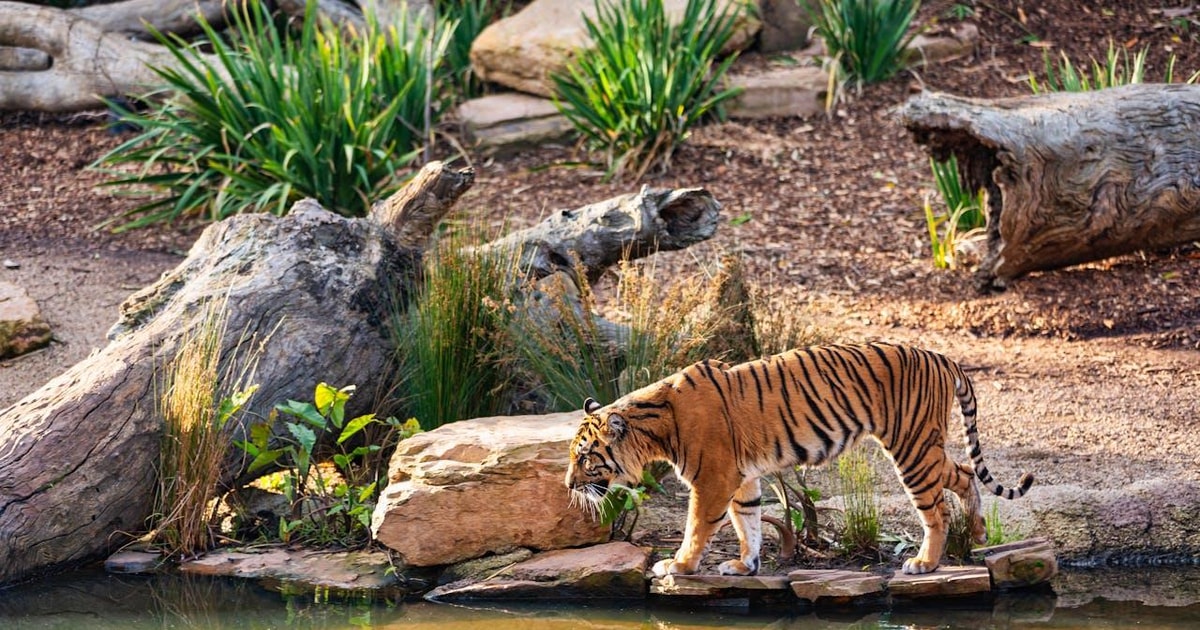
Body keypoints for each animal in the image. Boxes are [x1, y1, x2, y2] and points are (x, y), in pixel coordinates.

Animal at [564, 342, 1033, 577]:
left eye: (586, 458)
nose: (568, 485)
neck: (655, 425)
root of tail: (940, 355)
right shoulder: (742, 479)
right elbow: (748, 523)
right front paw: (745, 564)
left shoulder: (713, 480)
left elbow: (696, 528)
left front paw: (678, 565)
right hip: (926, 446)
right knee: (965, 473)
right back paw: (978, 532)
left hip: (911, 447)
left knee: (935, 509)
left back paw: (925, 562)